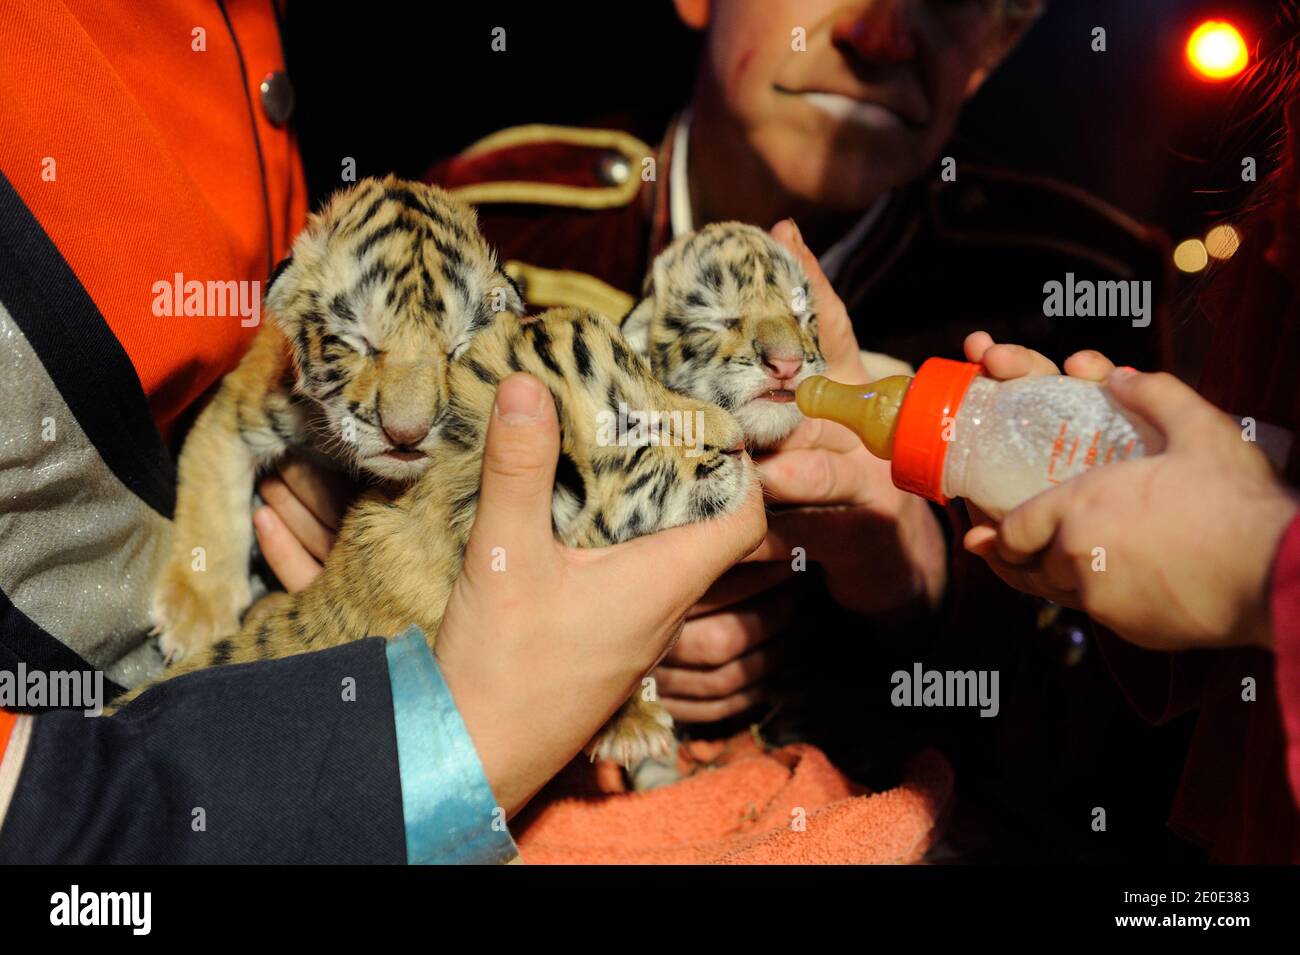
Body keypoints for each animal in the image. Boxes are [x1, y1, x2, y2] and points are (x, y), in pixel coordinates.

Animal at [151, 176, 523, 666]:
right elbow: (213, 504)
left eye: (456, 350)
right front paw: (195, 616)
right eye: (360, 342)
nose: (407, 435)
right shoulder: (235, 412)